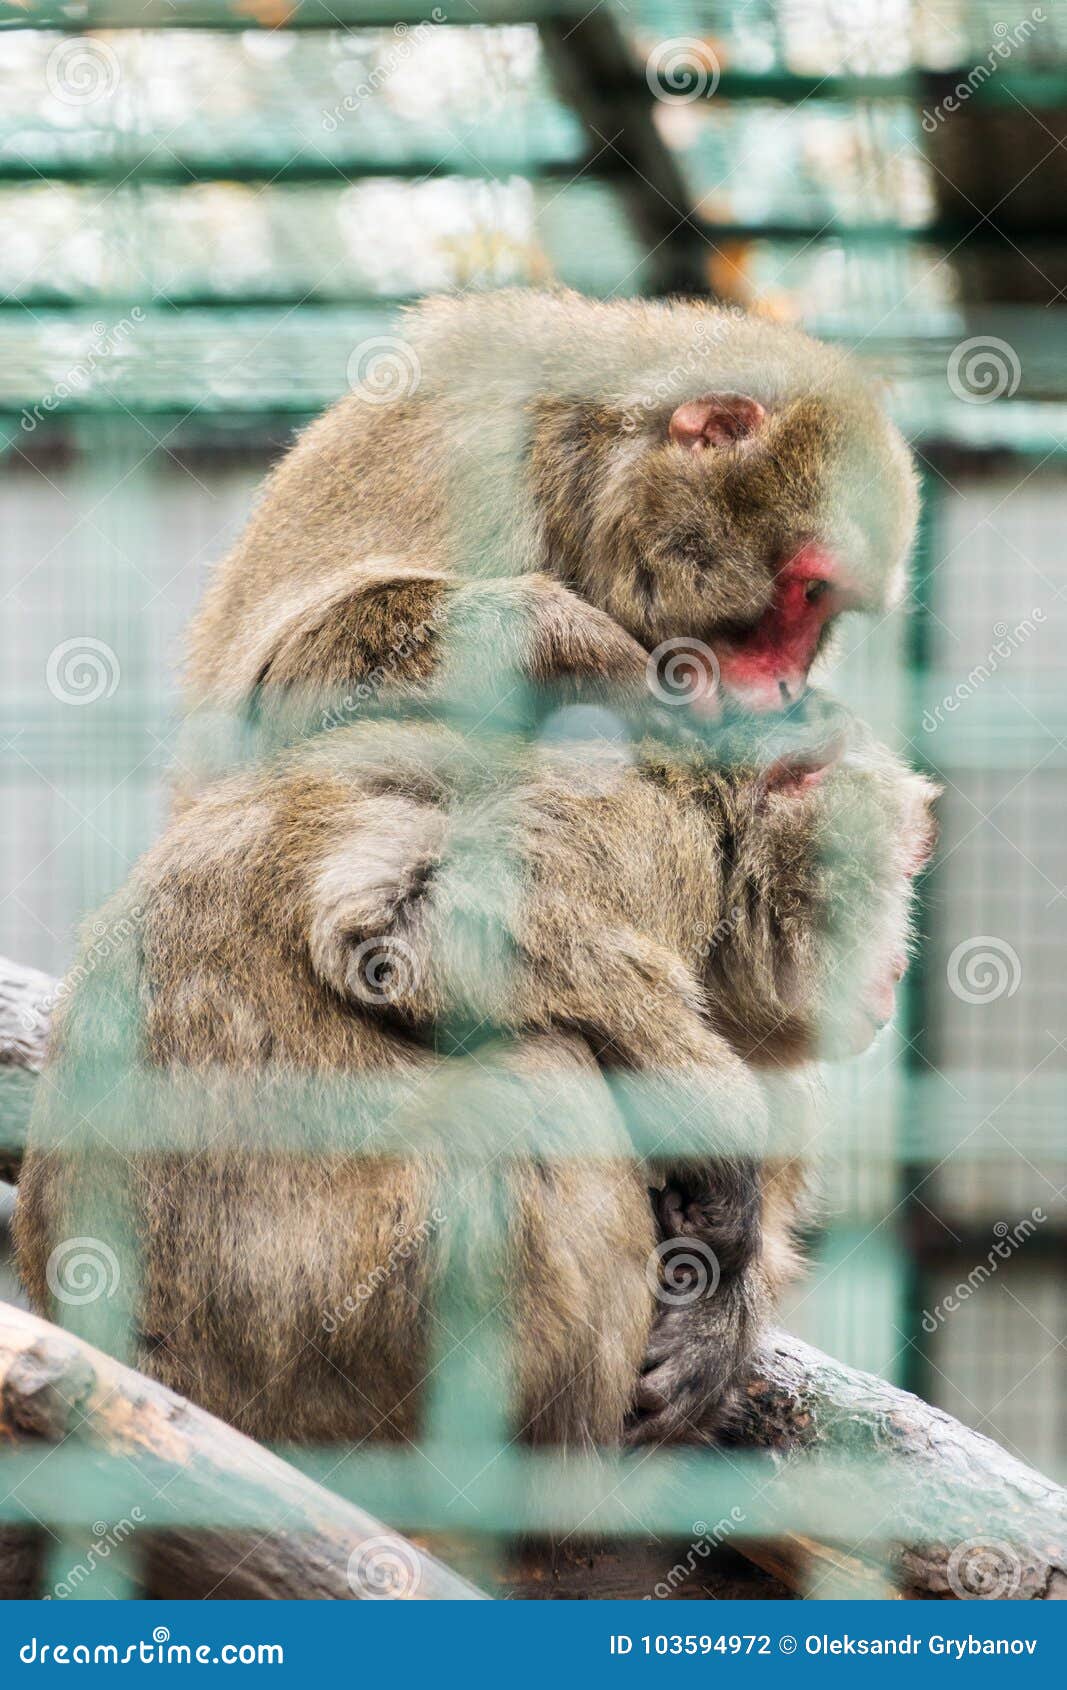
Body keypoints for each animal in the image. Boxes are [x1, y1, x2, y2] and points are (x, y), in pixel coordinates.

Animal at [16, 702, 937, 1452]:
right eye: (893, 874)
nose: (894, 967)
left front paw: (715, 1333)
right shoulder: (642, 830)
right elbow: (411, 923)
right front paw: (724, 1147)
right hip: (328, 1317)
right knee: (547, 1075)